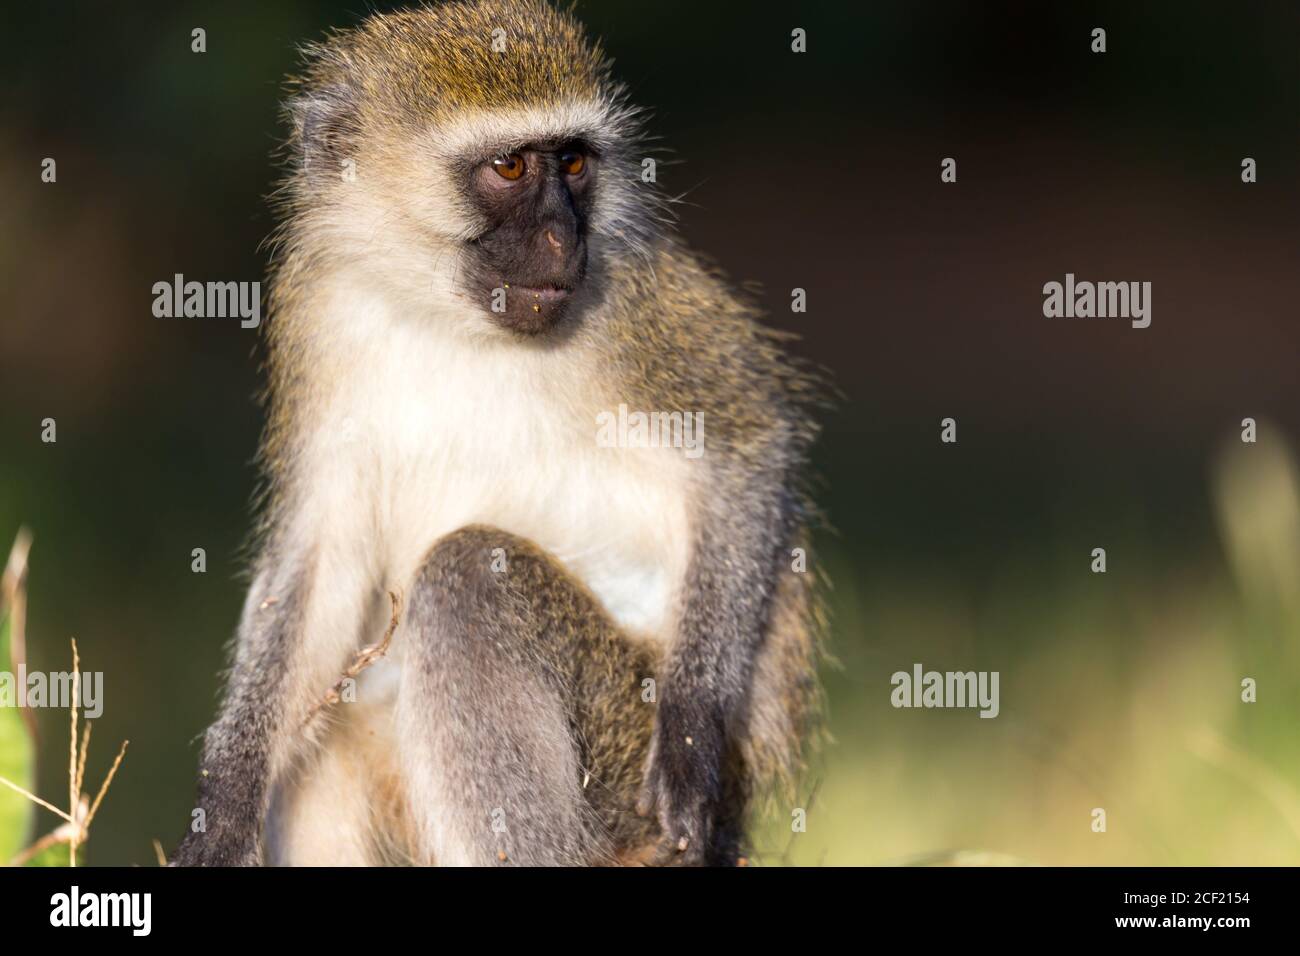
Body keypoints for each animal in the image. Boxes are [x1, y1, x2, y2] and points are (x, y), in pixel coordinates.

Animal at [173, 0, 826, 867]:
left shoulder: (633, 297)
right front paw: (226, 796)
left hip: (622, 746)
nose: (562, 240)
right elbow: (322, 560)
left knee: (468, 581)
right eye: (511, 168)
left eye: (574, 163)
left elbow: (748, 445)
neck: (444, 309)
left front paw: (691, 732)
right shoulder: (318, 302)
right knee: (327, 756)